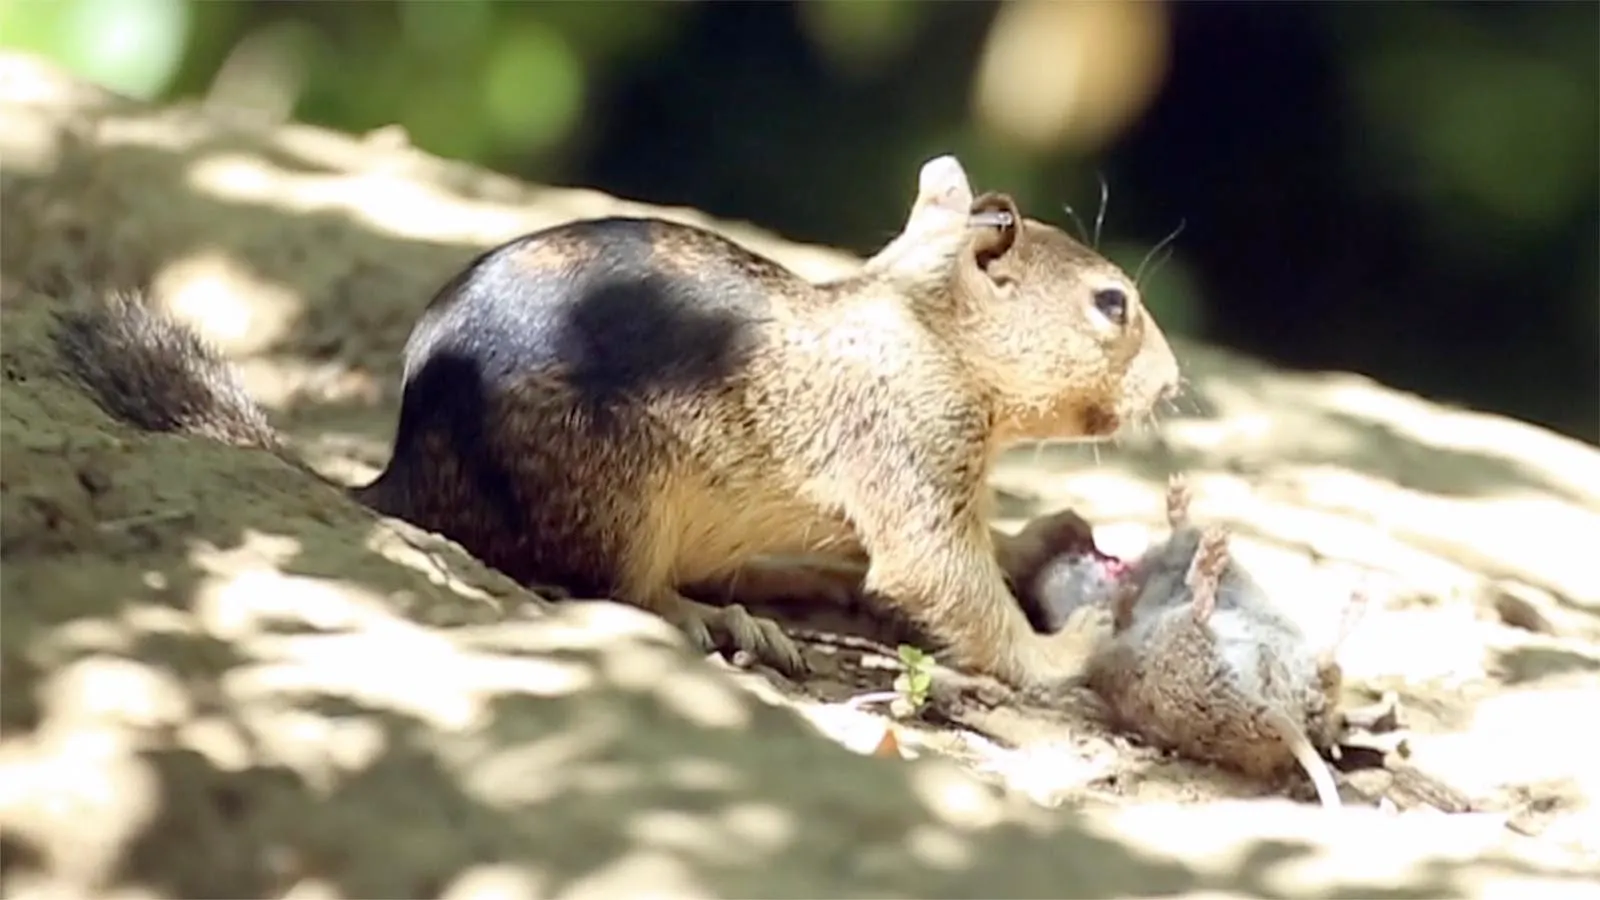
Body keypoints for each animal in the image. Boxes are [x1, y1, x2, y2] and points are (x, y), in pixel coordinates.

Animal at [53, 154, 1180, 689]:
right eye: (1111, 305)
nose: (1176, 389)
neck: (921, 328)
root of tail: (406, 475)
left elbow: (972, 552)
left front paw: (1047, 536)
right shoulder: (911, 456)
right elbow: (945, 580)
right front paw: (1067, 649)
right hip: (620, 491)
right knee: (617, 592)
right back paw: (720, 619)